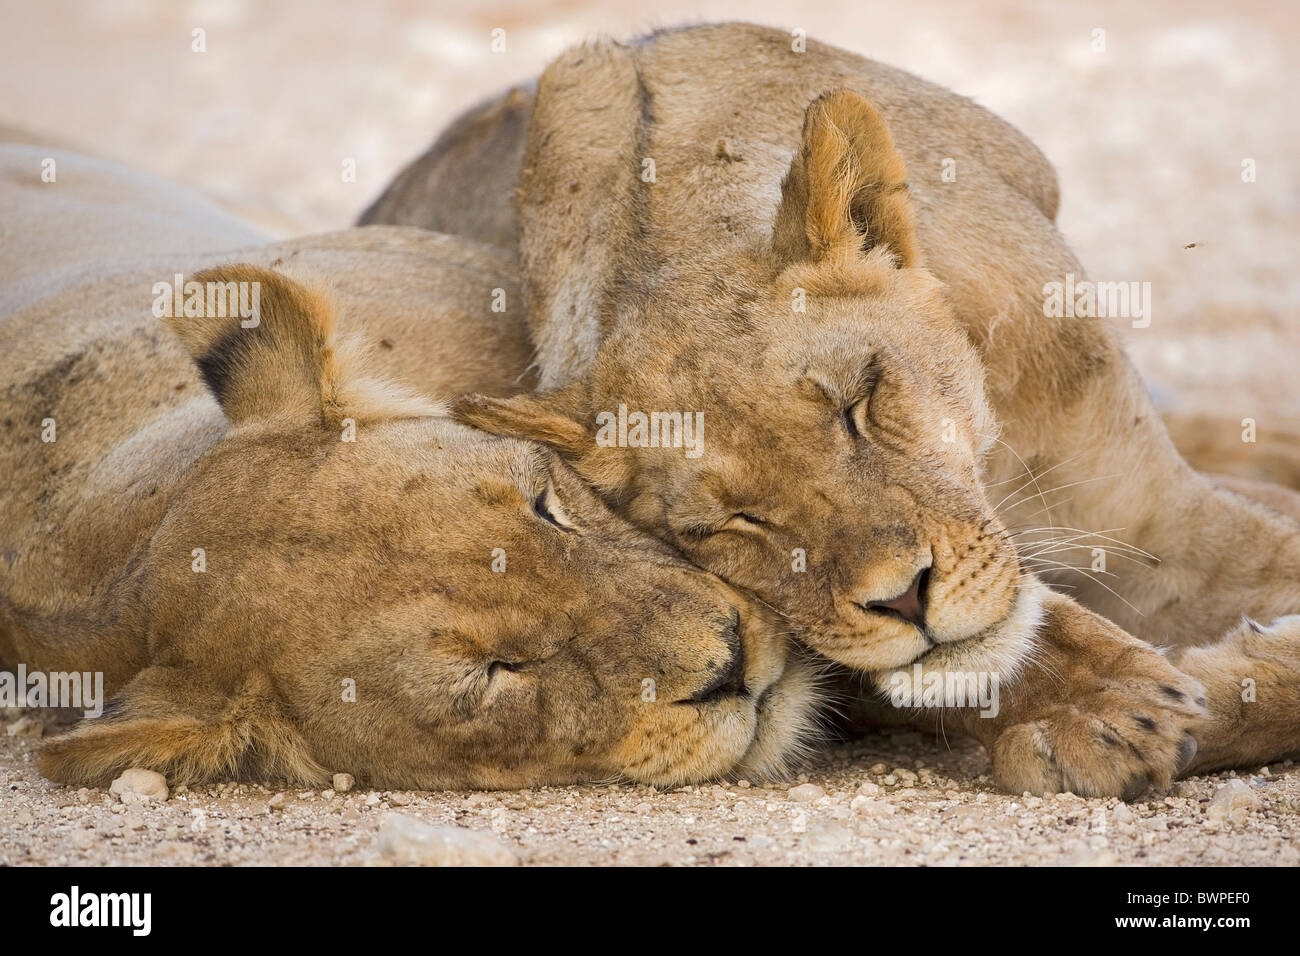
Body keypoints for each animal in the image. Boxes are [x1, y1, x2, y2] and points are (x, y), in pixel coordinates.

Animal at [360, 22, 1300, 795]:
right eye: (730, 524)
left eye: (862, 400)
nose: (905, 602)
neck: (990, 460)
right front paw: (1103, 707)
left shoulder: (1159, 523)